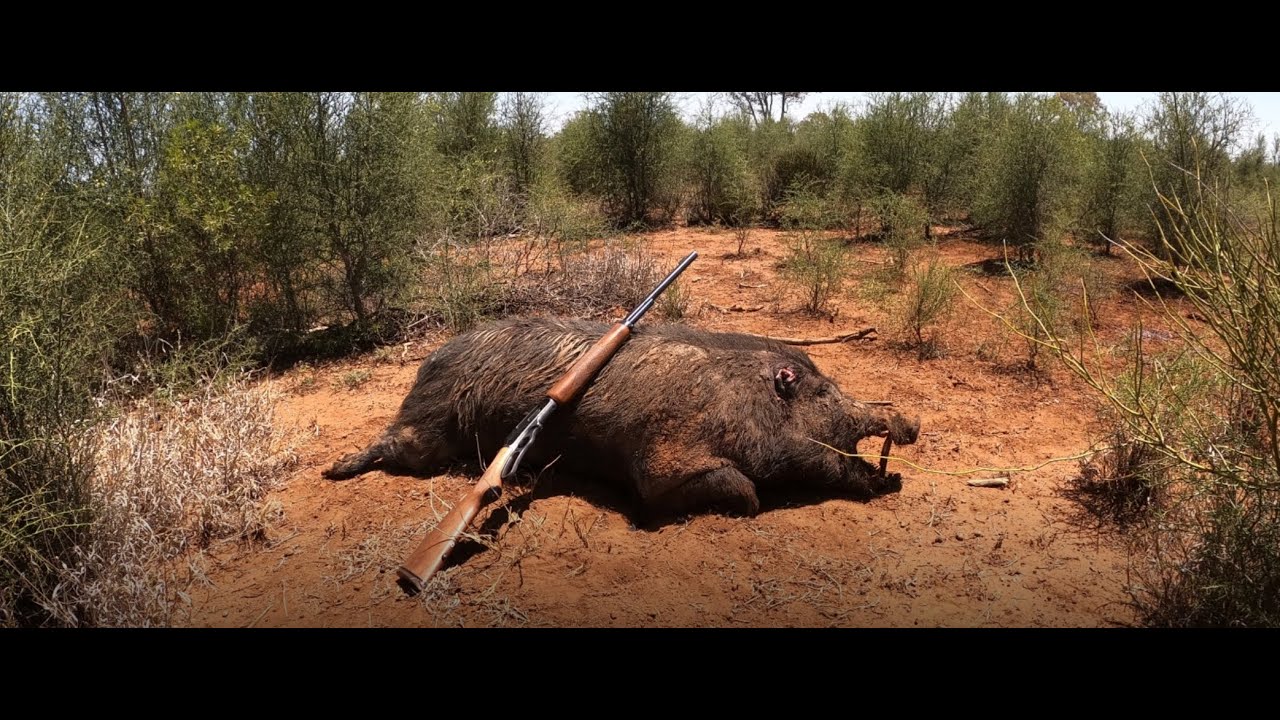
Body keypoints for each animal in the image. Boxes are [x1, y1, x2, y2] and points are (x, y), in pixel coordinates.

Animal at [324, 317, 920, 520]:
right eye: (825, 393)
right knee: (393, 445)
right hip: (427, 430)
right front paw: (750, 504)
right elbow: (742, 490)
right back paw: (333, 469)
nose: (910, 422)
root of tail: (430, 360)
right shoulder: (662, 462)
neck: (737, 403)